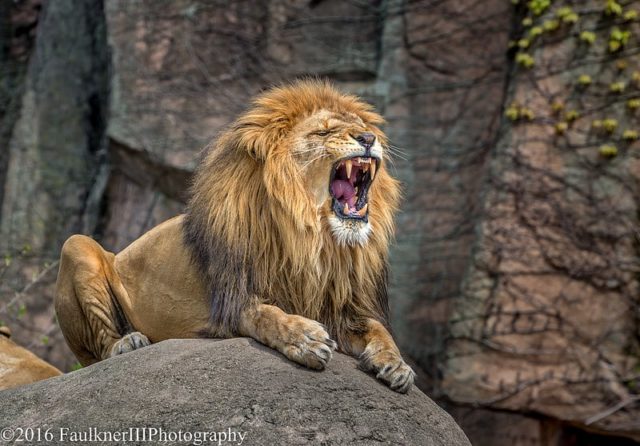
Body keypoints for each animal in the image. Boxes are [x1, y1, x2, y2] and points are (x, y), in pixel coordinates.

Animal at [55, 80, 415, 393]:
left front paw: (396, 364)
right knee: (98, 352)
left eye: (362, 126)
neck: (313, 239)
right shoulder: (232, 299)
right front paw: (305, 339)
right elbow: (268, 315)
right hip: (77, 246)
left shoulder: (340, 309)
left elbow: (378, 329)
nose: (368, 137)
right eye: (323, 131)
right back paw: (127, 342)